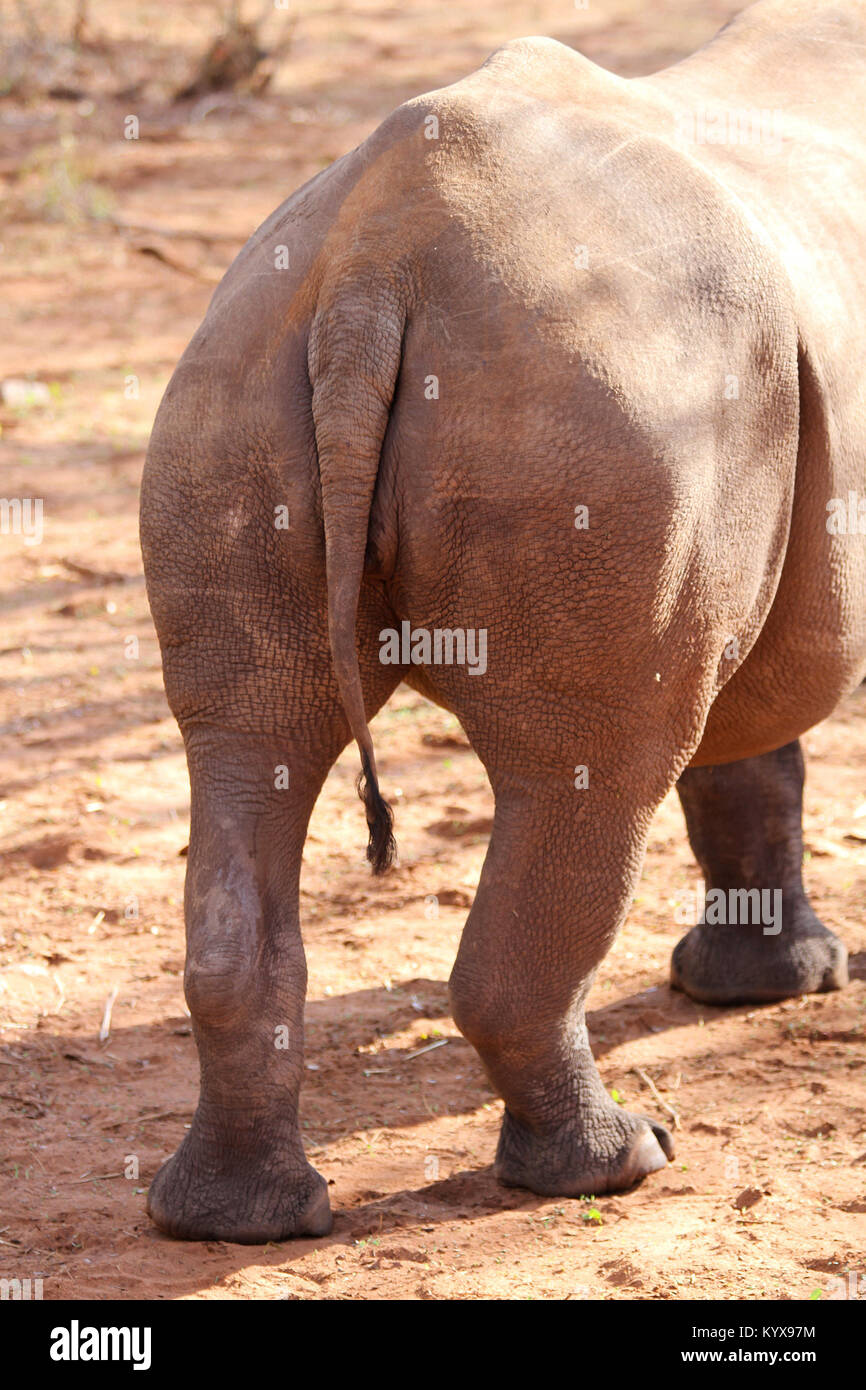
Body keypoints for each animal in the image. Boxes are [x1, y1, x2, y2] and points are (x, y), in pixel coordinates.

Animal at [140, 0, 865, 1240]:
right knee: (591, 769)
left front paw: (771, 983)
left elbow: (746, 747)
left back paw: (231, 1222)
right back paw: (619, 1163)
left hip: (228, 379)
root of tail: (373, 261)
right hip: (605, 401)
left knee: (245, 745)